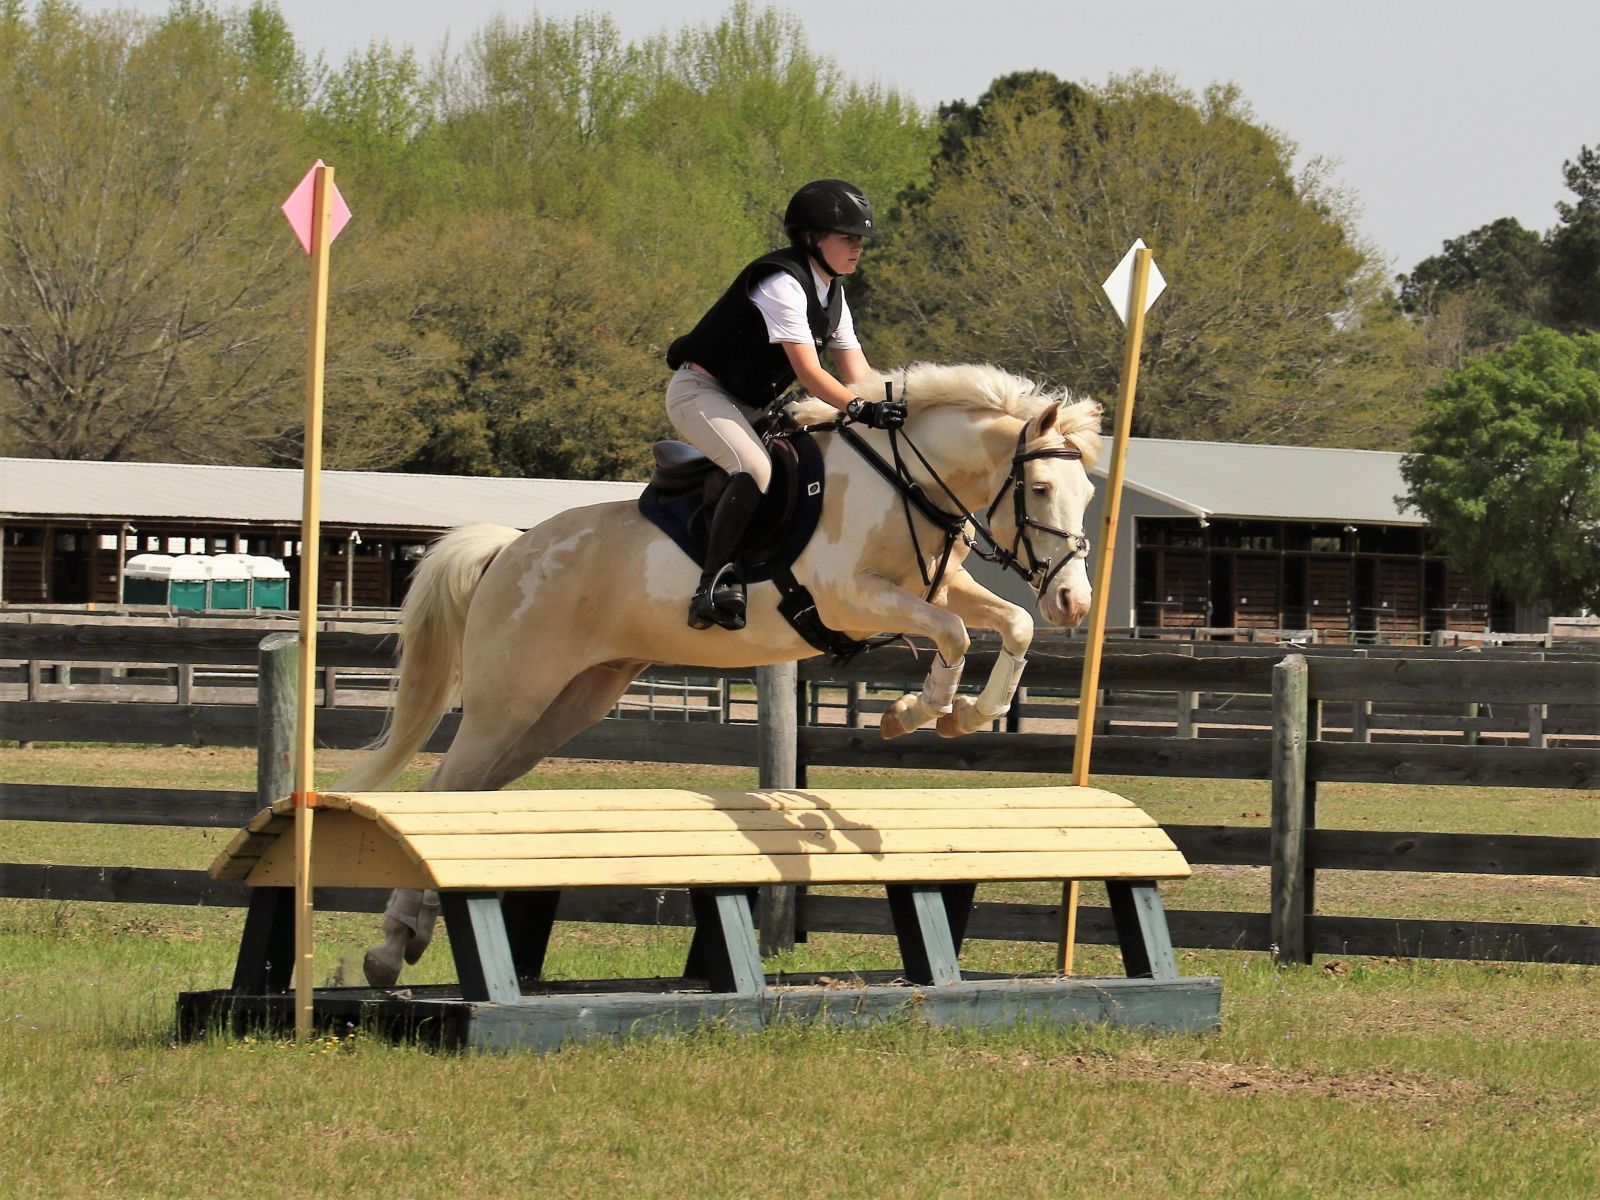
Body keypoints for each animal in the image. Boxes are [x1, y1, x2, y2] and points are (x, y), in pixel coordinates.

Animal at [341, 362, 1104, 986]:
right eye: (1040, 489)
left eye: (1087, 496)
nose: (1075, 601)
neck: (905, 482)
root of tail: (509, 551)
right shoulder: (849, 597)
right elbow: (952, 634)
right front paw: (914, 712)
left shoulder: (940, 588)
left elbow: (1010, 622)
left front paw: (966, 714)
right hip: (509, 698)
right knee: (443, 791)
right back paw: (386, 950)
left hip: (564, 705)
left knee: (468, 795)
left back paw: (411, 936)